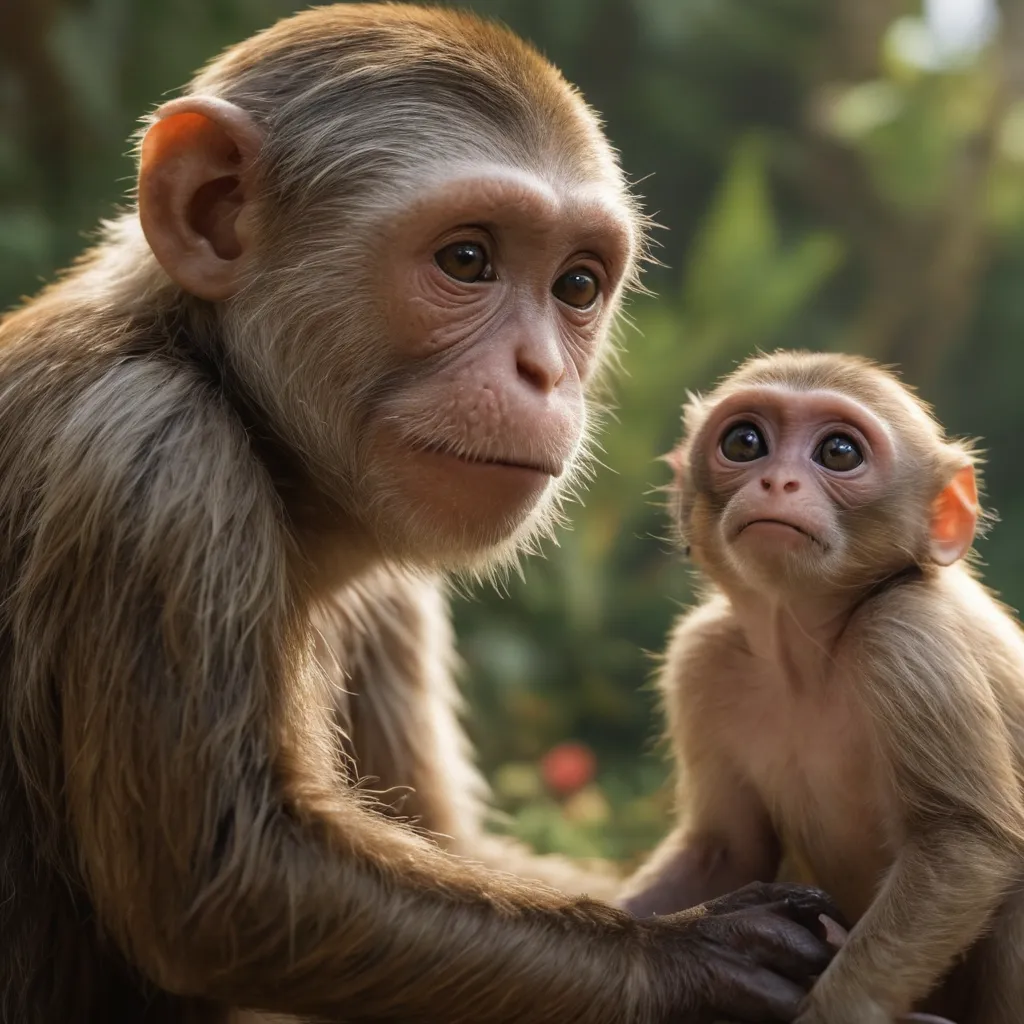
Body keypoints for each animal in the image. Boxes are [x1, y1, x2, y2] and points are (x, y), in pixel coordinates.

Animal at [0, 7, 841, 1024]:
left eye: (576, 286)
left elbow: (441, 839)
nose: (541, 372)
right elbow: (227, 886)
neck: (220, 378)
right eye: (466, 259)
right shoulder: (152, 456)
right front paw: (689, 964)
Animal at [617, 349, 1024, 1024]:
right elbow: (726, 851)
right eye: (745, 442)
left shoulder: (907, 638)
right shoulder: (701, 657)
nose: (777, 482)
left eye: (838, 452)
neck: (804, 657)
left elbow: (962, 846)